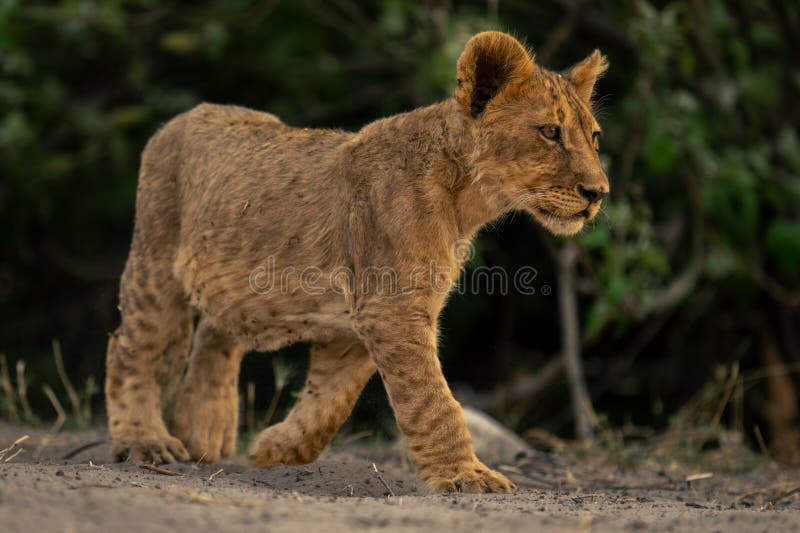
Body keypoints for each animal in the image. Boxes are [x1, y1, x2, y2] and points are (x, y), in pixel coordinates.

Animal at [105, 31, 609, 493]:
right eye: (550, 132)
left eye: (594, 137)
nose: (598, 193)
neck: (466, 201)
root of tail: (183, 117)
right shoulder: (392, 311)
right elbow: (432, 402)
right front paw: (466, 476)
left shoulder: (357, 324)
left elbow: (330, 403)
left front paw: (274, 448)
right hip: (154, 260)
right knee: (130, 347)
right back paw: (145, 441)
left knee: (213, 332)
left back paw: (205, 430)